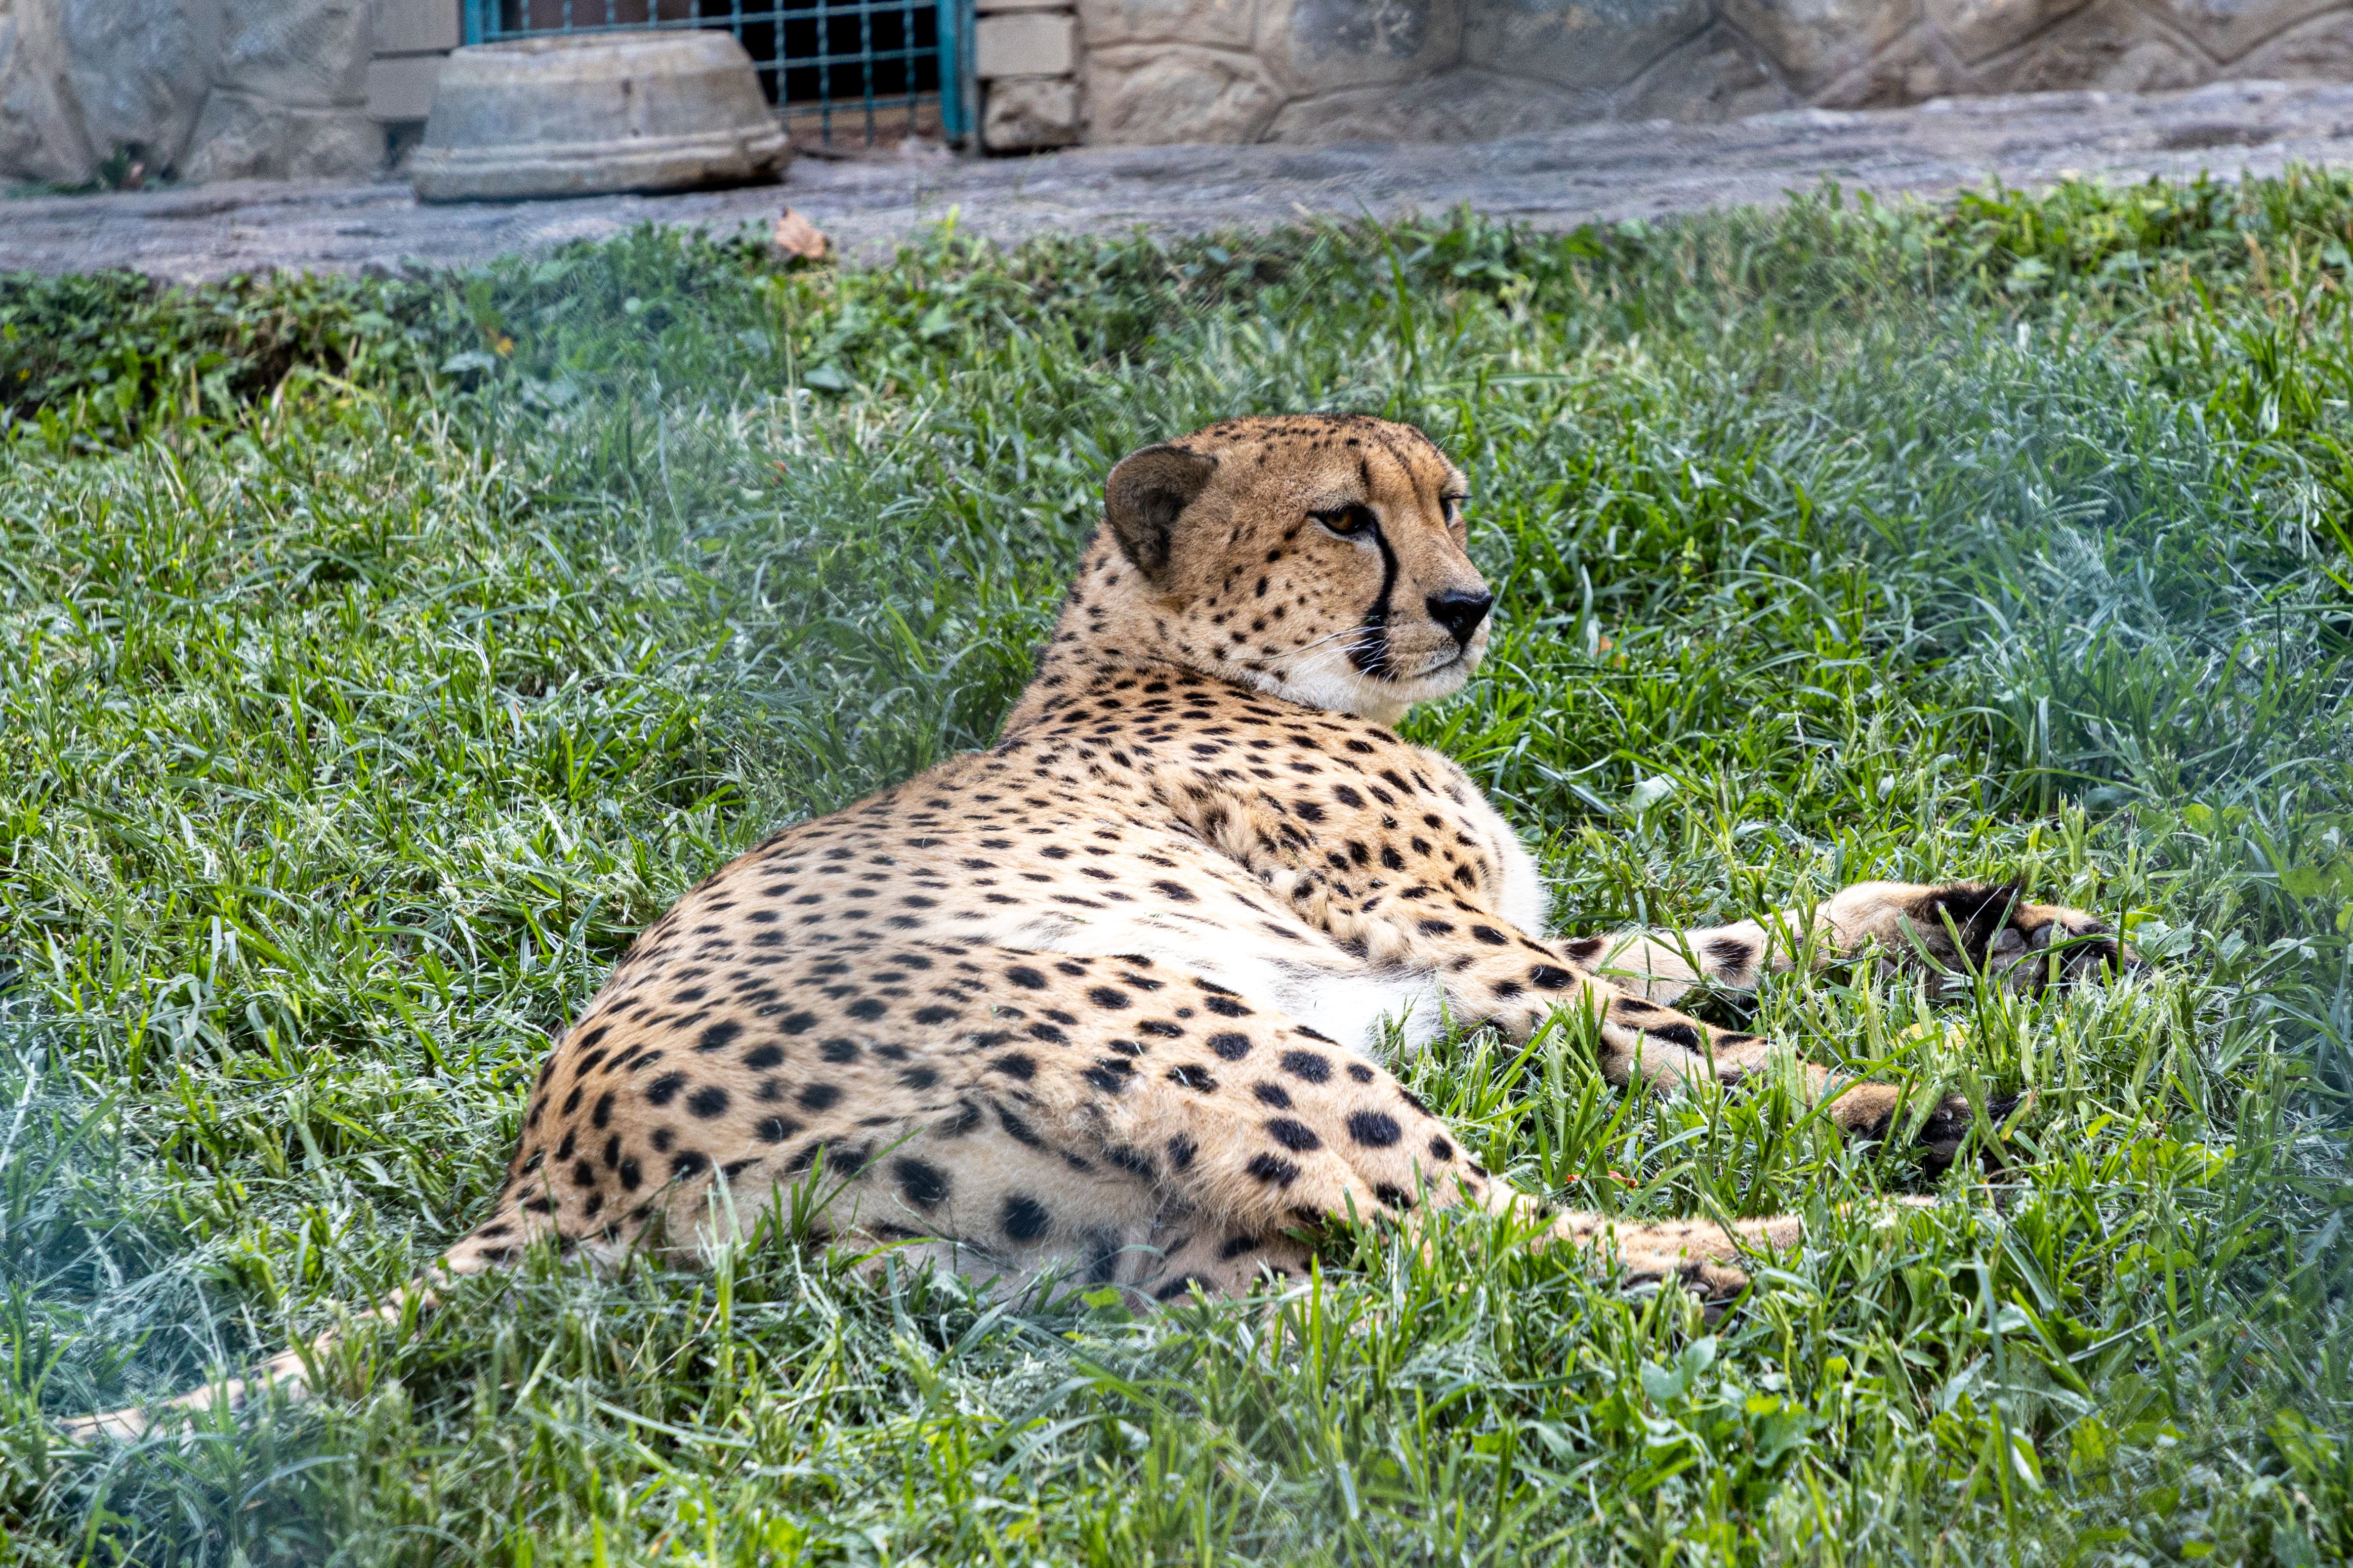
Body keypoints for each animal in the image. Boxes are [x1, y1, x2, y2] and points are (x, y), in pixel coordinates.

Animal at [66, 413, 2143, 1441]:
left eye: (1448, 501)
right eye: (1346, 518)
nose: (1469, 602)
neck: (1179, 657)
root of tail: (546, 1164)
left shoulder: (1461, 959)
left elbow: (1729, 936)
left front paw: (1999, 921)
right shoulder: (1442, 954)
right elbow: (1686, 1025)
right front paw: (1875, 1081)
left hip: (1088, 1241)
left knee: (1404, 1286)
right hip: (1207, 1029)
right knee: (1522, 1243)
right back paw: (1931, 1201)